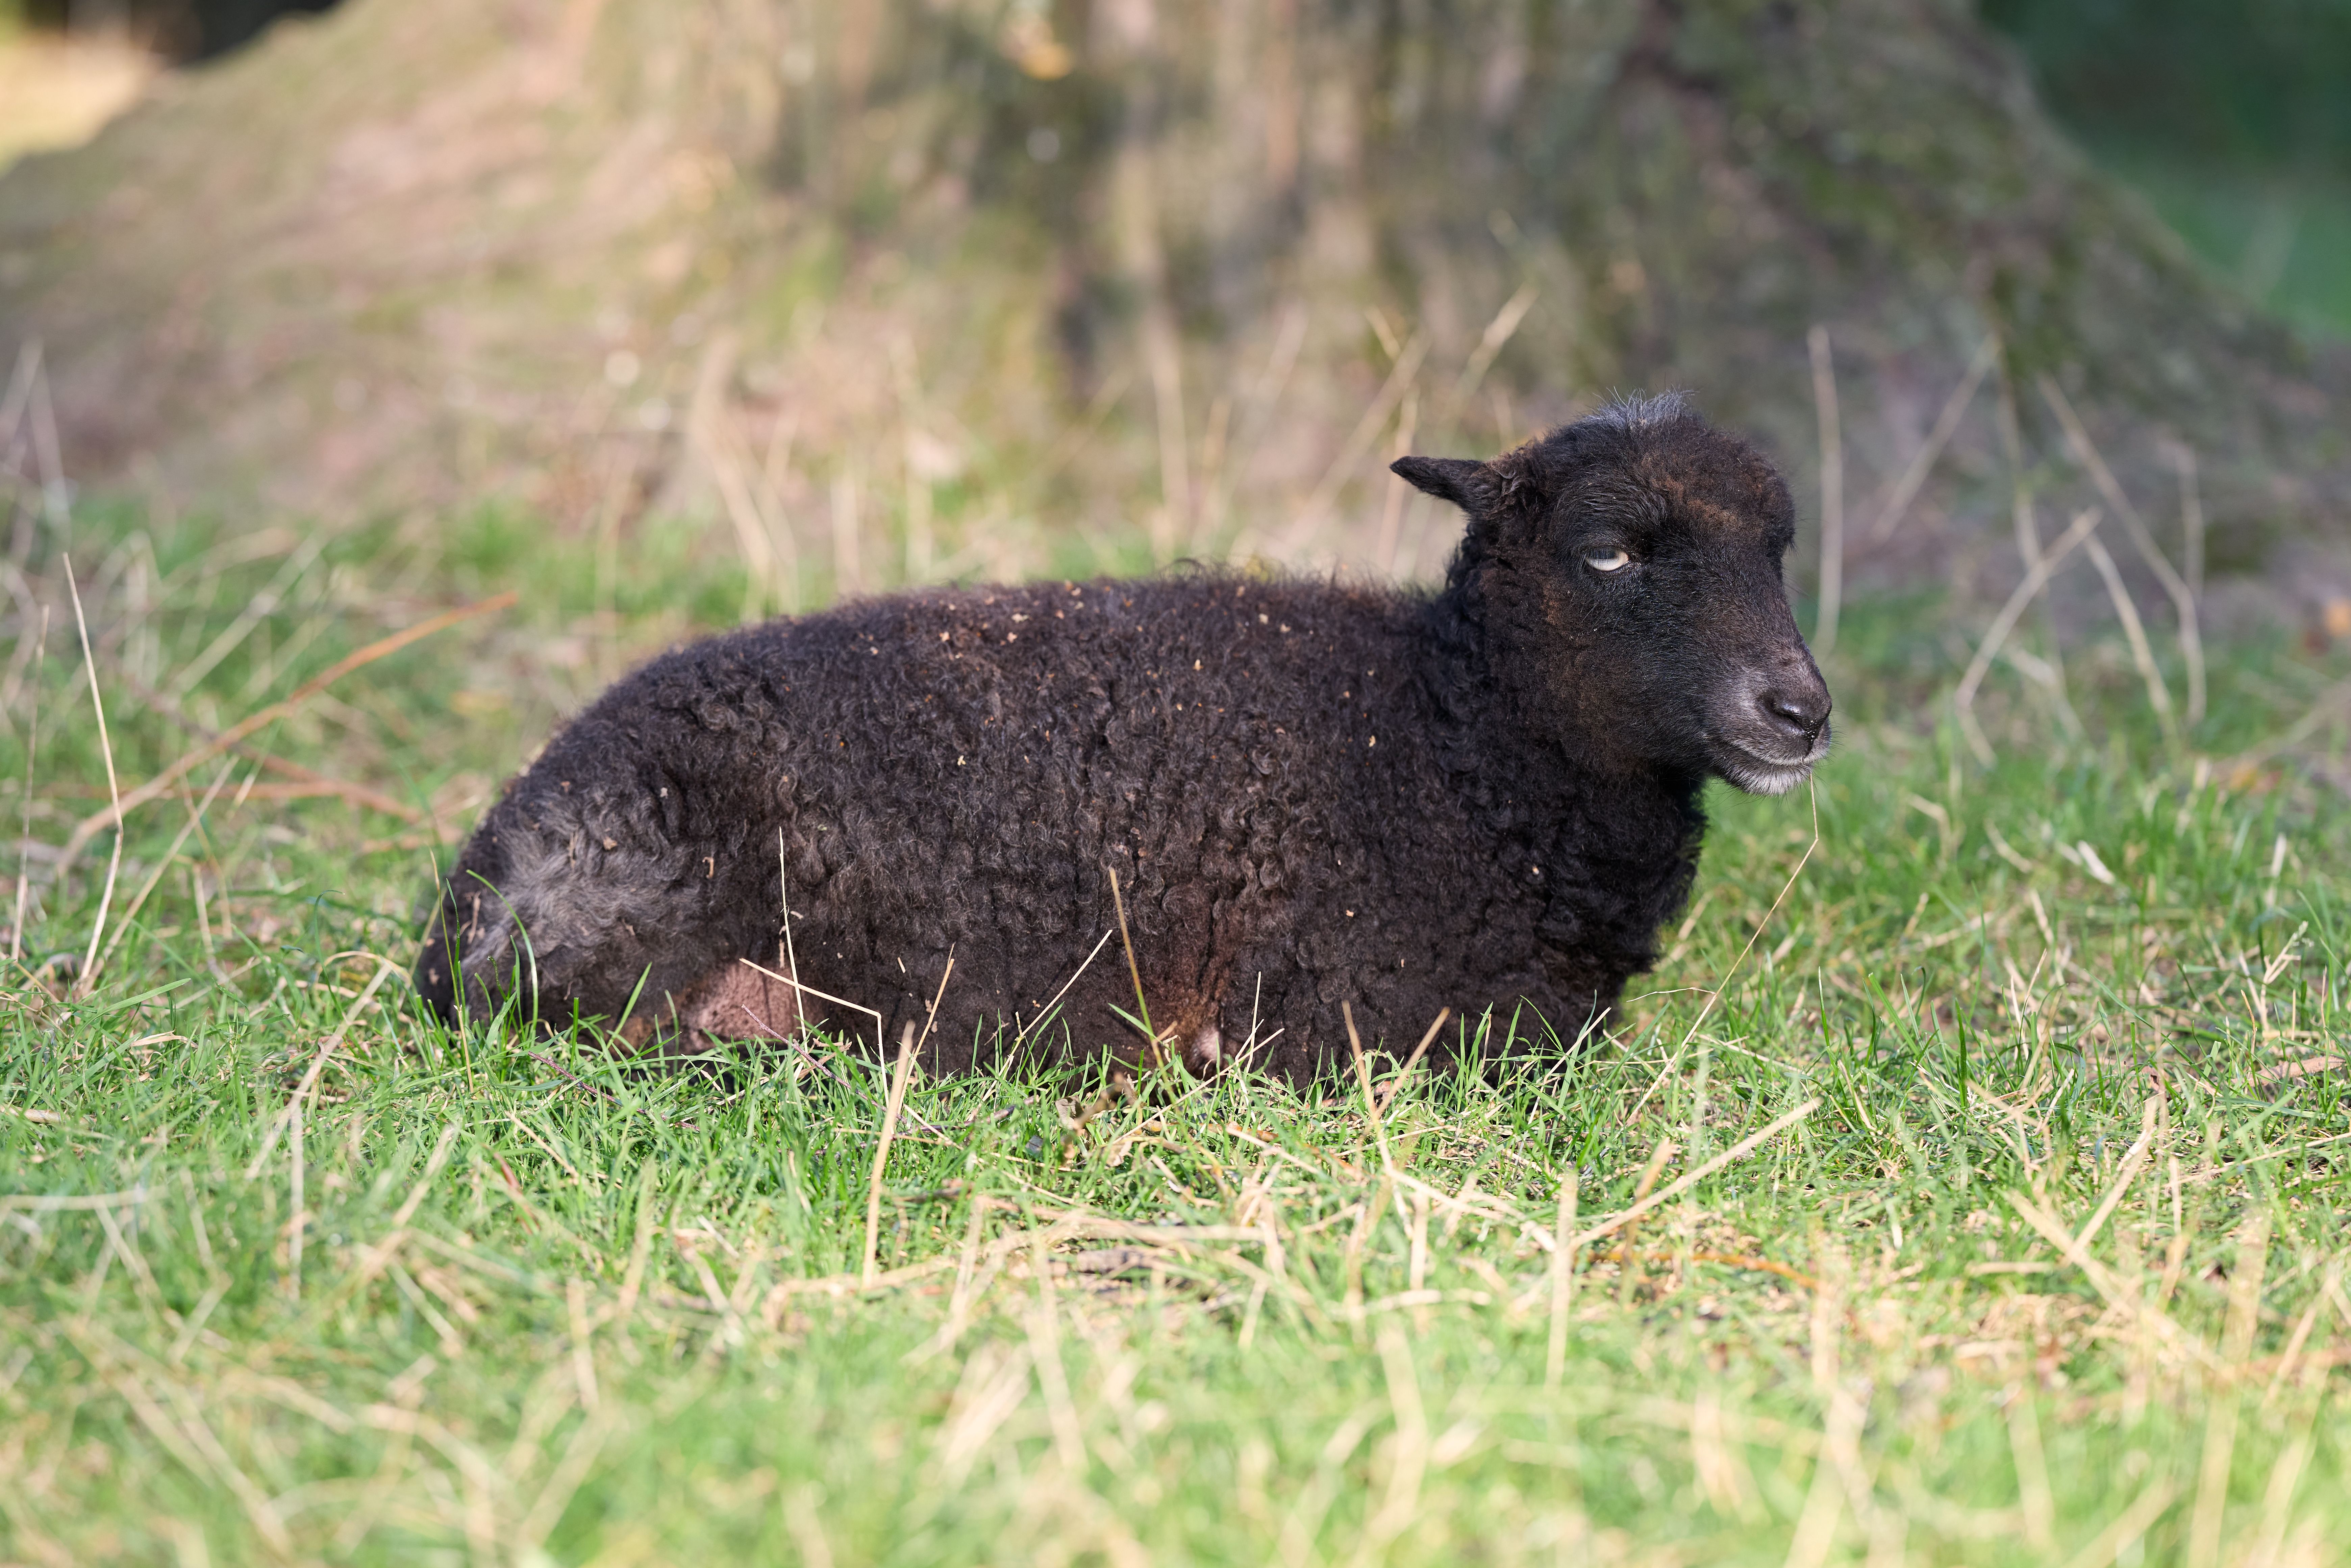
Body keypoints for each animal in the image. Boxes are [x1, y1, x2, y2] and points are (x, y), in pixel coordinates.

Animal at [413, 393, 1831, 1080]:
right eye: (1607, 550)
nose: (1799, 711)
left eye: (1778, 547)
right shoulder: (1345, 1029)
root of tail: (469, 888)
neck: (1448, 742)